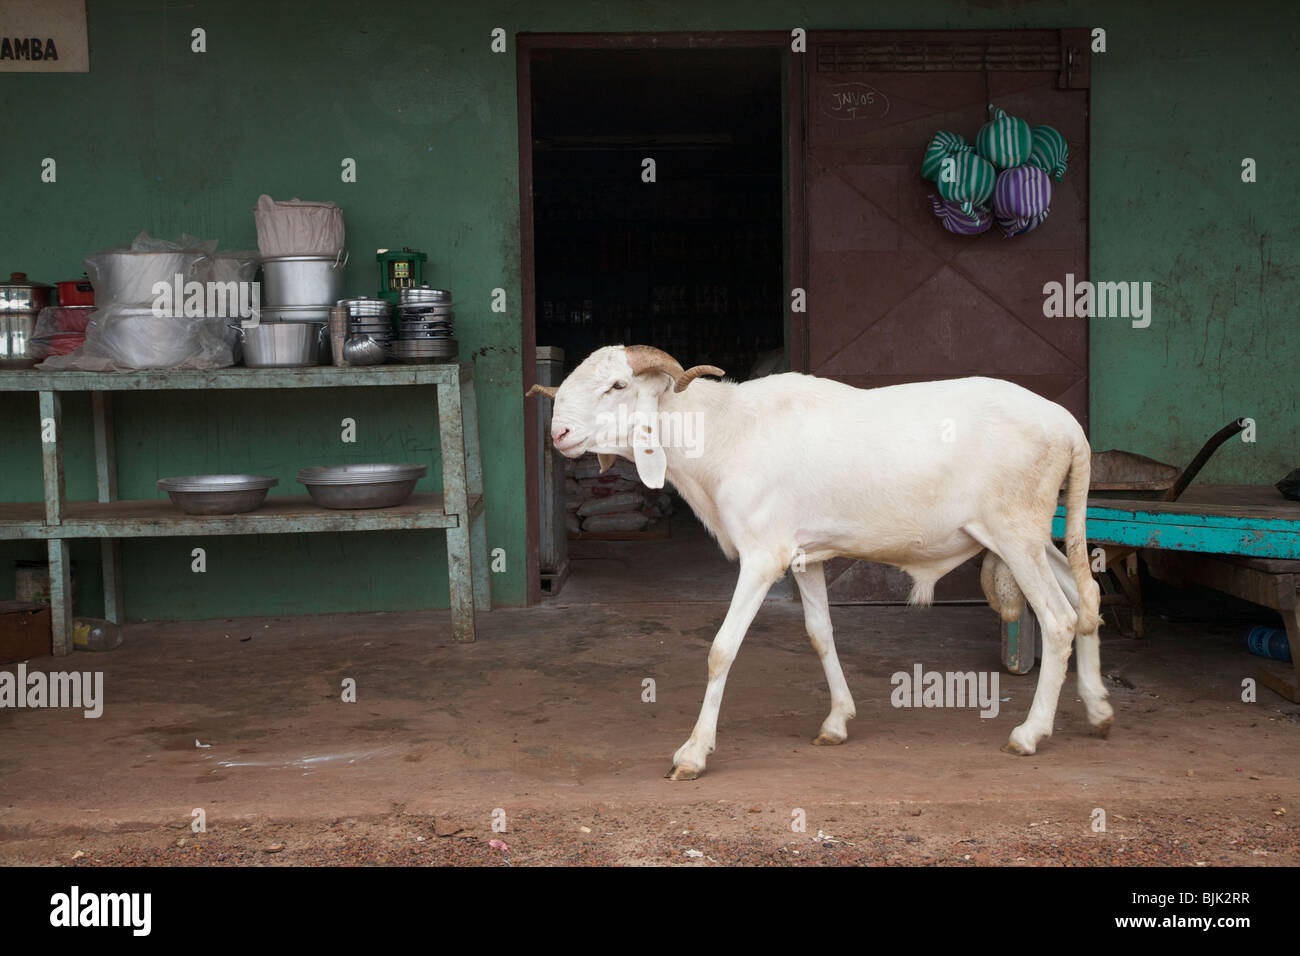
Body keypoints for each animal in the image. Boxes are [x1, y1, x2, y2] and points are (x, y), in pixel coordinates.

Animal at [529, 345, 1110, 780]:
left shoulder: (763, 556)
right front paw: (837, 721)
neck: (724, 433)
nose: (558, 434)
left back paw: (1029, 735)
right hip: (1037, 536)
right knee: (1088, 599)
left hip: (1015, 532)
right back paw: (1099, 708)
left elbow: (721, 650)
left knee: (1059, 620)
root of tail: (1067, 425)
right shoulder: (803, 557)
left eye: (617, 387)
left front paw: (692, 753)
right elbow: (819, 633)